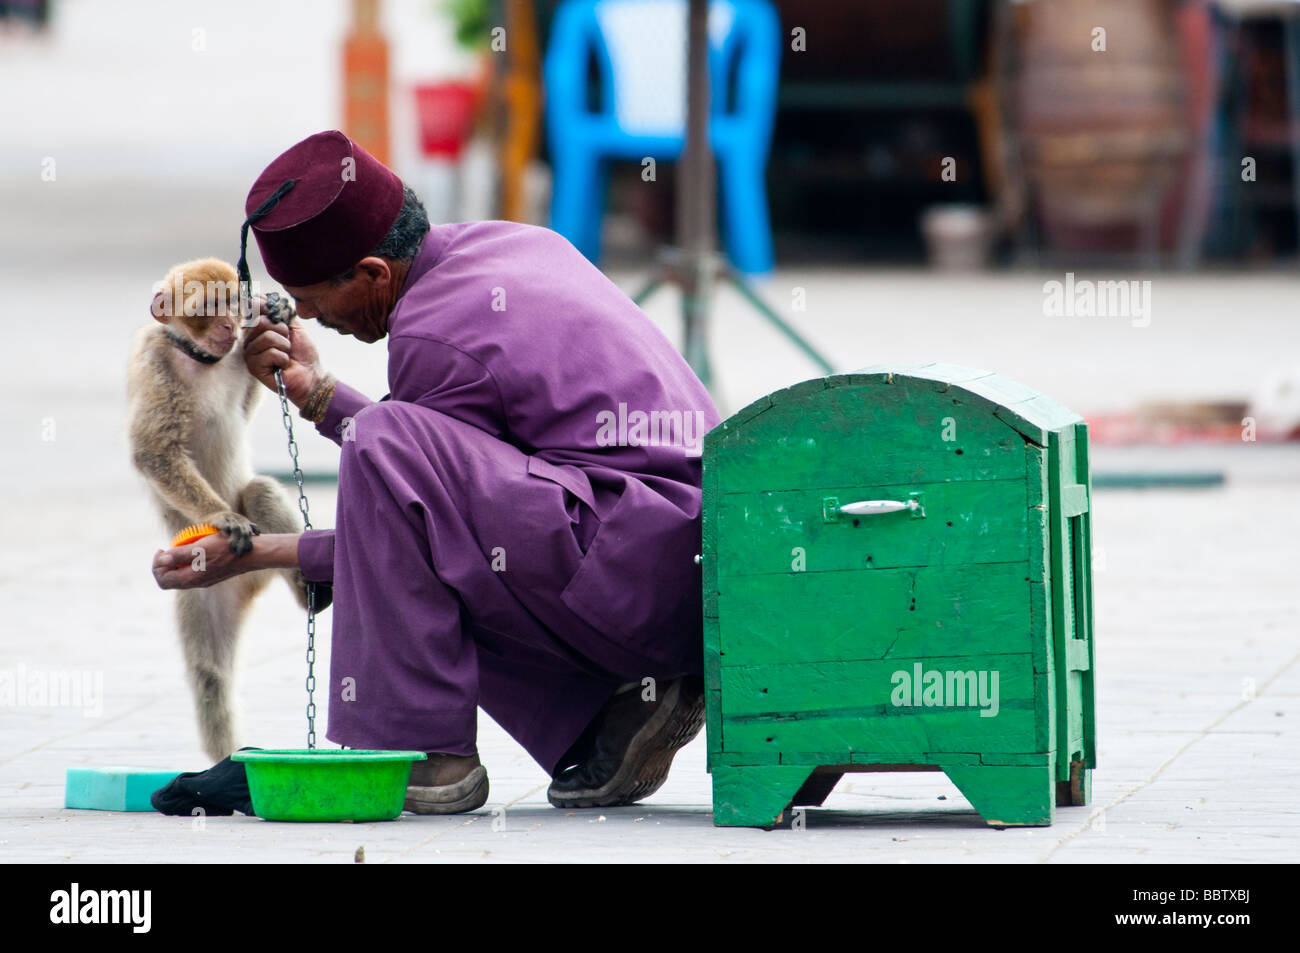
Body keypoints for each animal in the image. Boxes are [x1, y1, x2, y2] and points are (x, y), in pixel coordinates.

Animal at [128, 257, 319, 762]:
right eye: (209, 306)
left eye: (234, 302)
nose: (231, 325)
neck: (199, 359)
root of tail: (250, 583)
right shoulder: (153, 362)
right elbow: (154, 452)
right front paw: (221, 517)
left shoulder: (232, 355)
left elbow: (247, 403)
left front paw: (280, 312)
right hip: (199, 596)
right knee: (210, 678)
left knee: (261, 491)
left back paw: (308, 589)